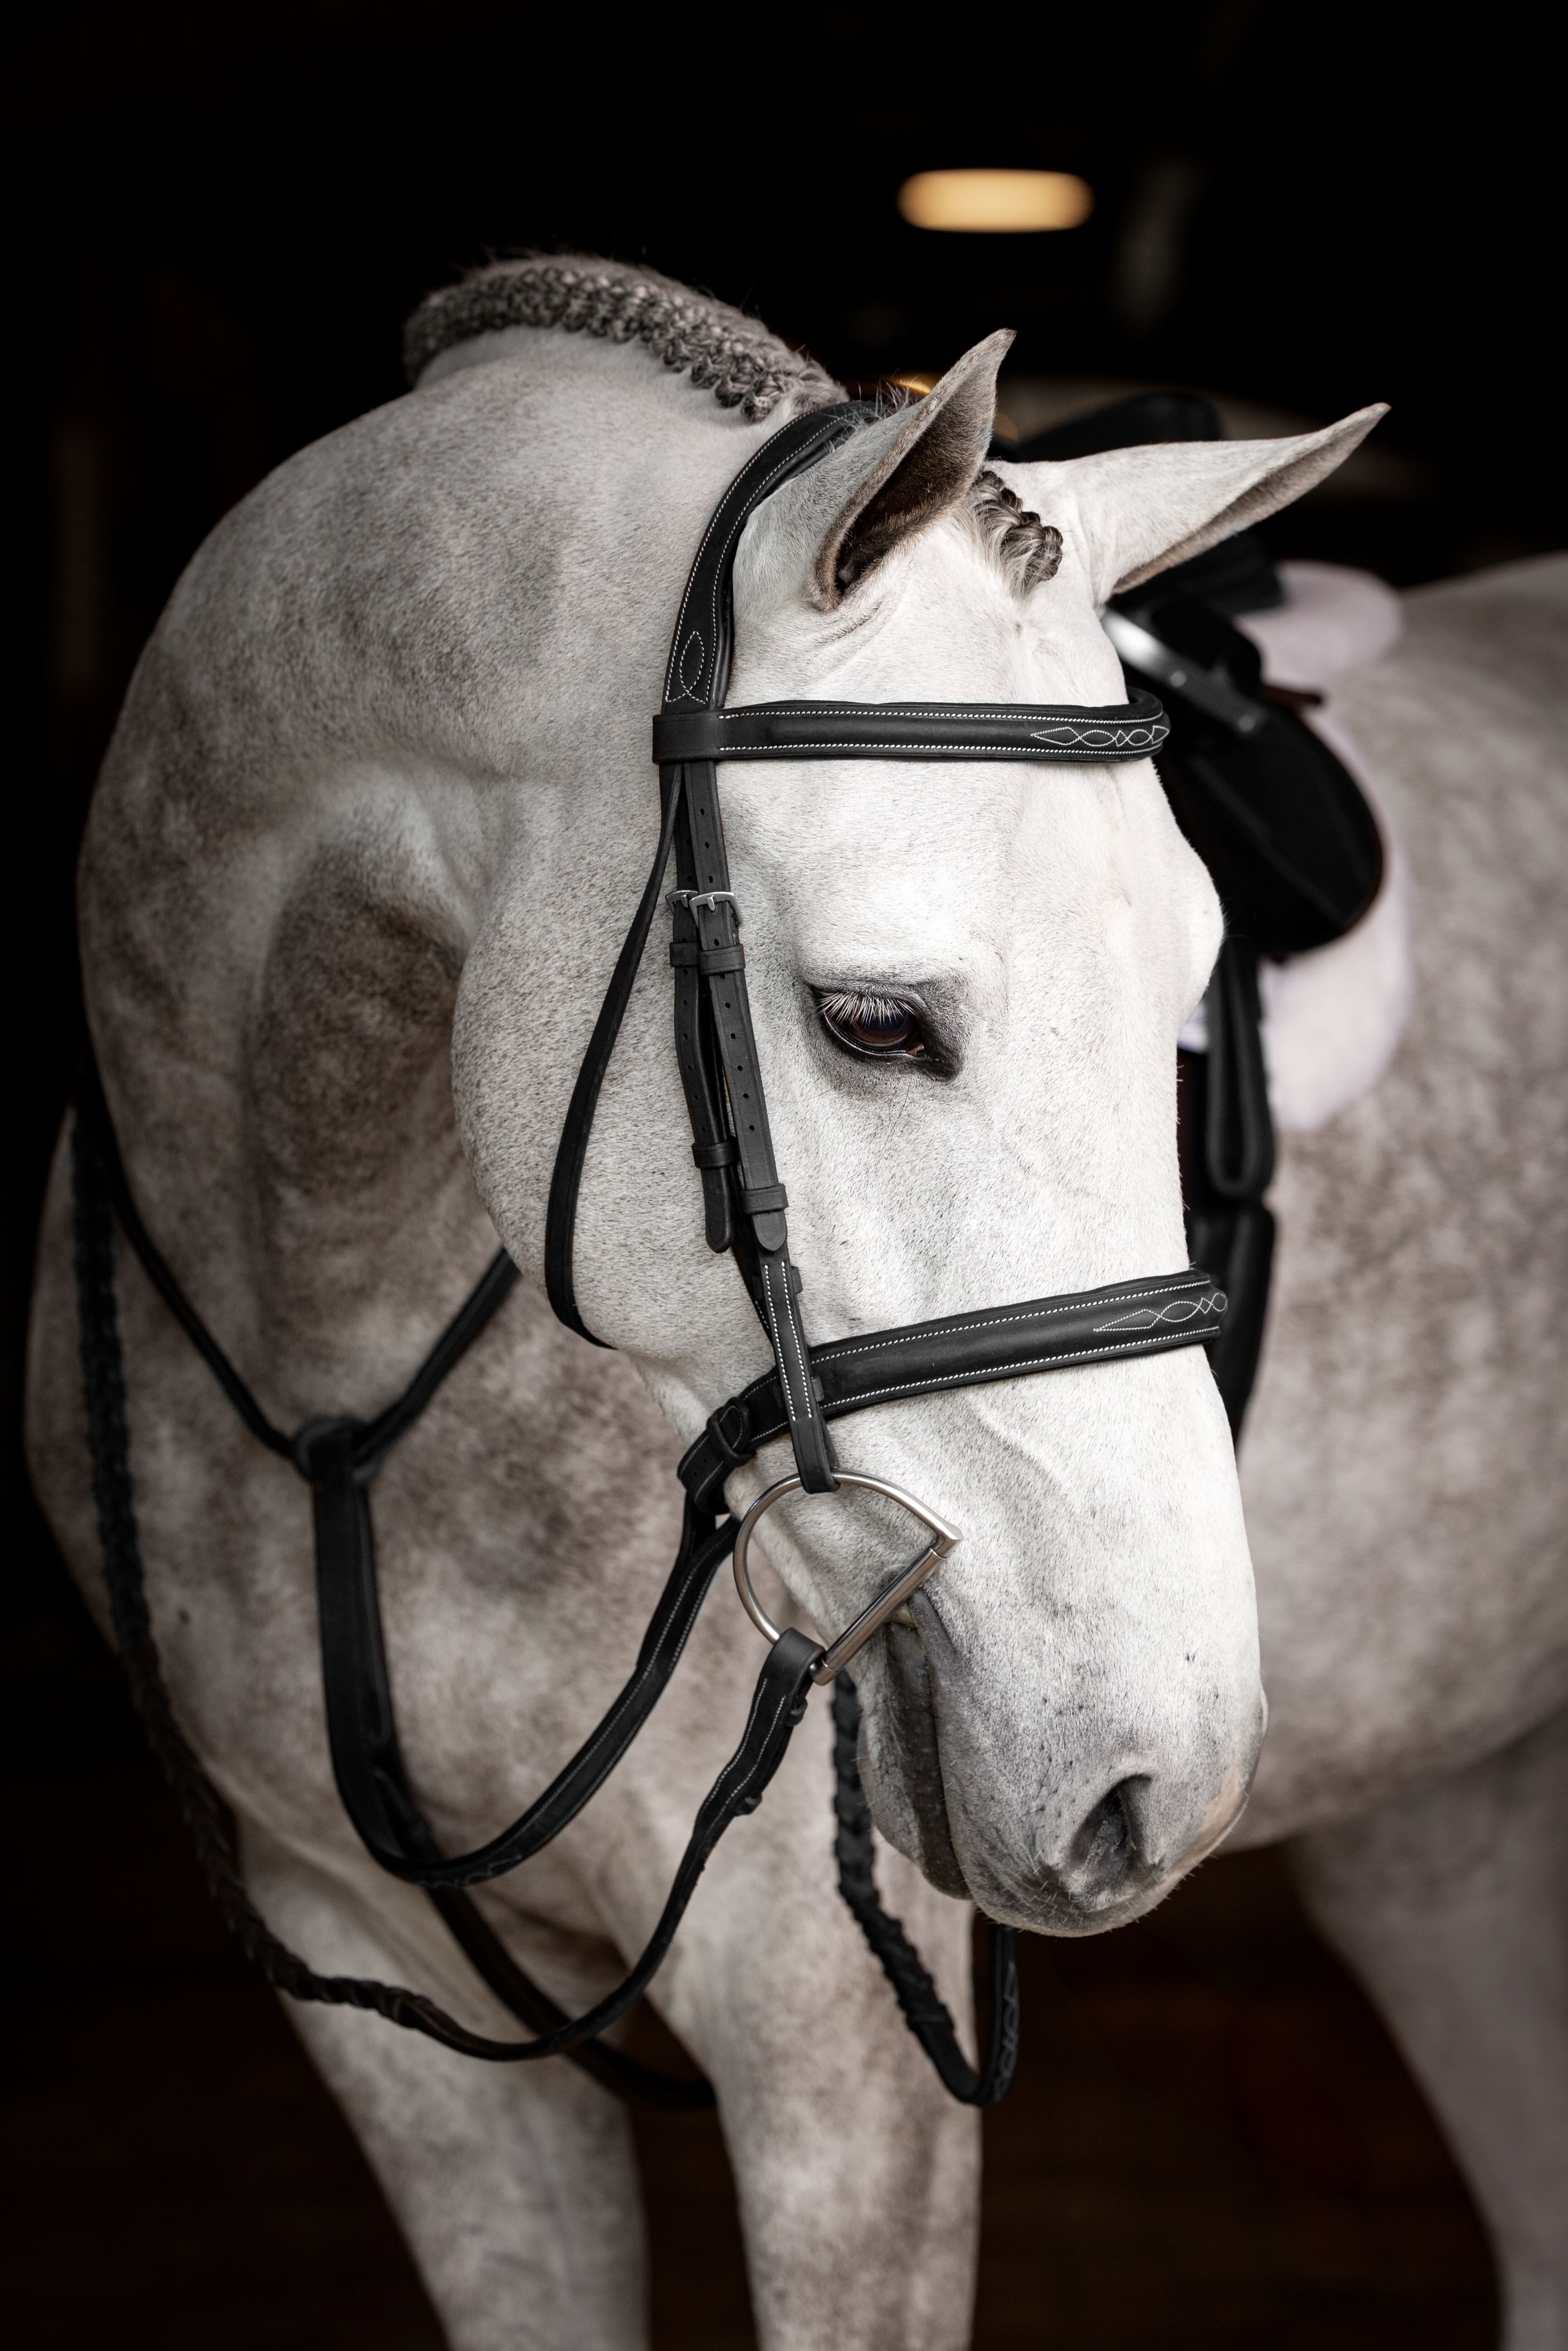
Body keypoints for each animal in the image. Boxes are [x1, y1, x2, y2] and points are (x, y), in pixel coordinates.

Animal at [25, 257, 1566, 2349]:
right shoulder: (375, 1980)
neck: (335, 1356)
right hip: (1440, 1820)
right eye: (870, 1021)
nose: (1155, 1771)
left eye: (1187, 981)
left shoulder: (830, 2052)